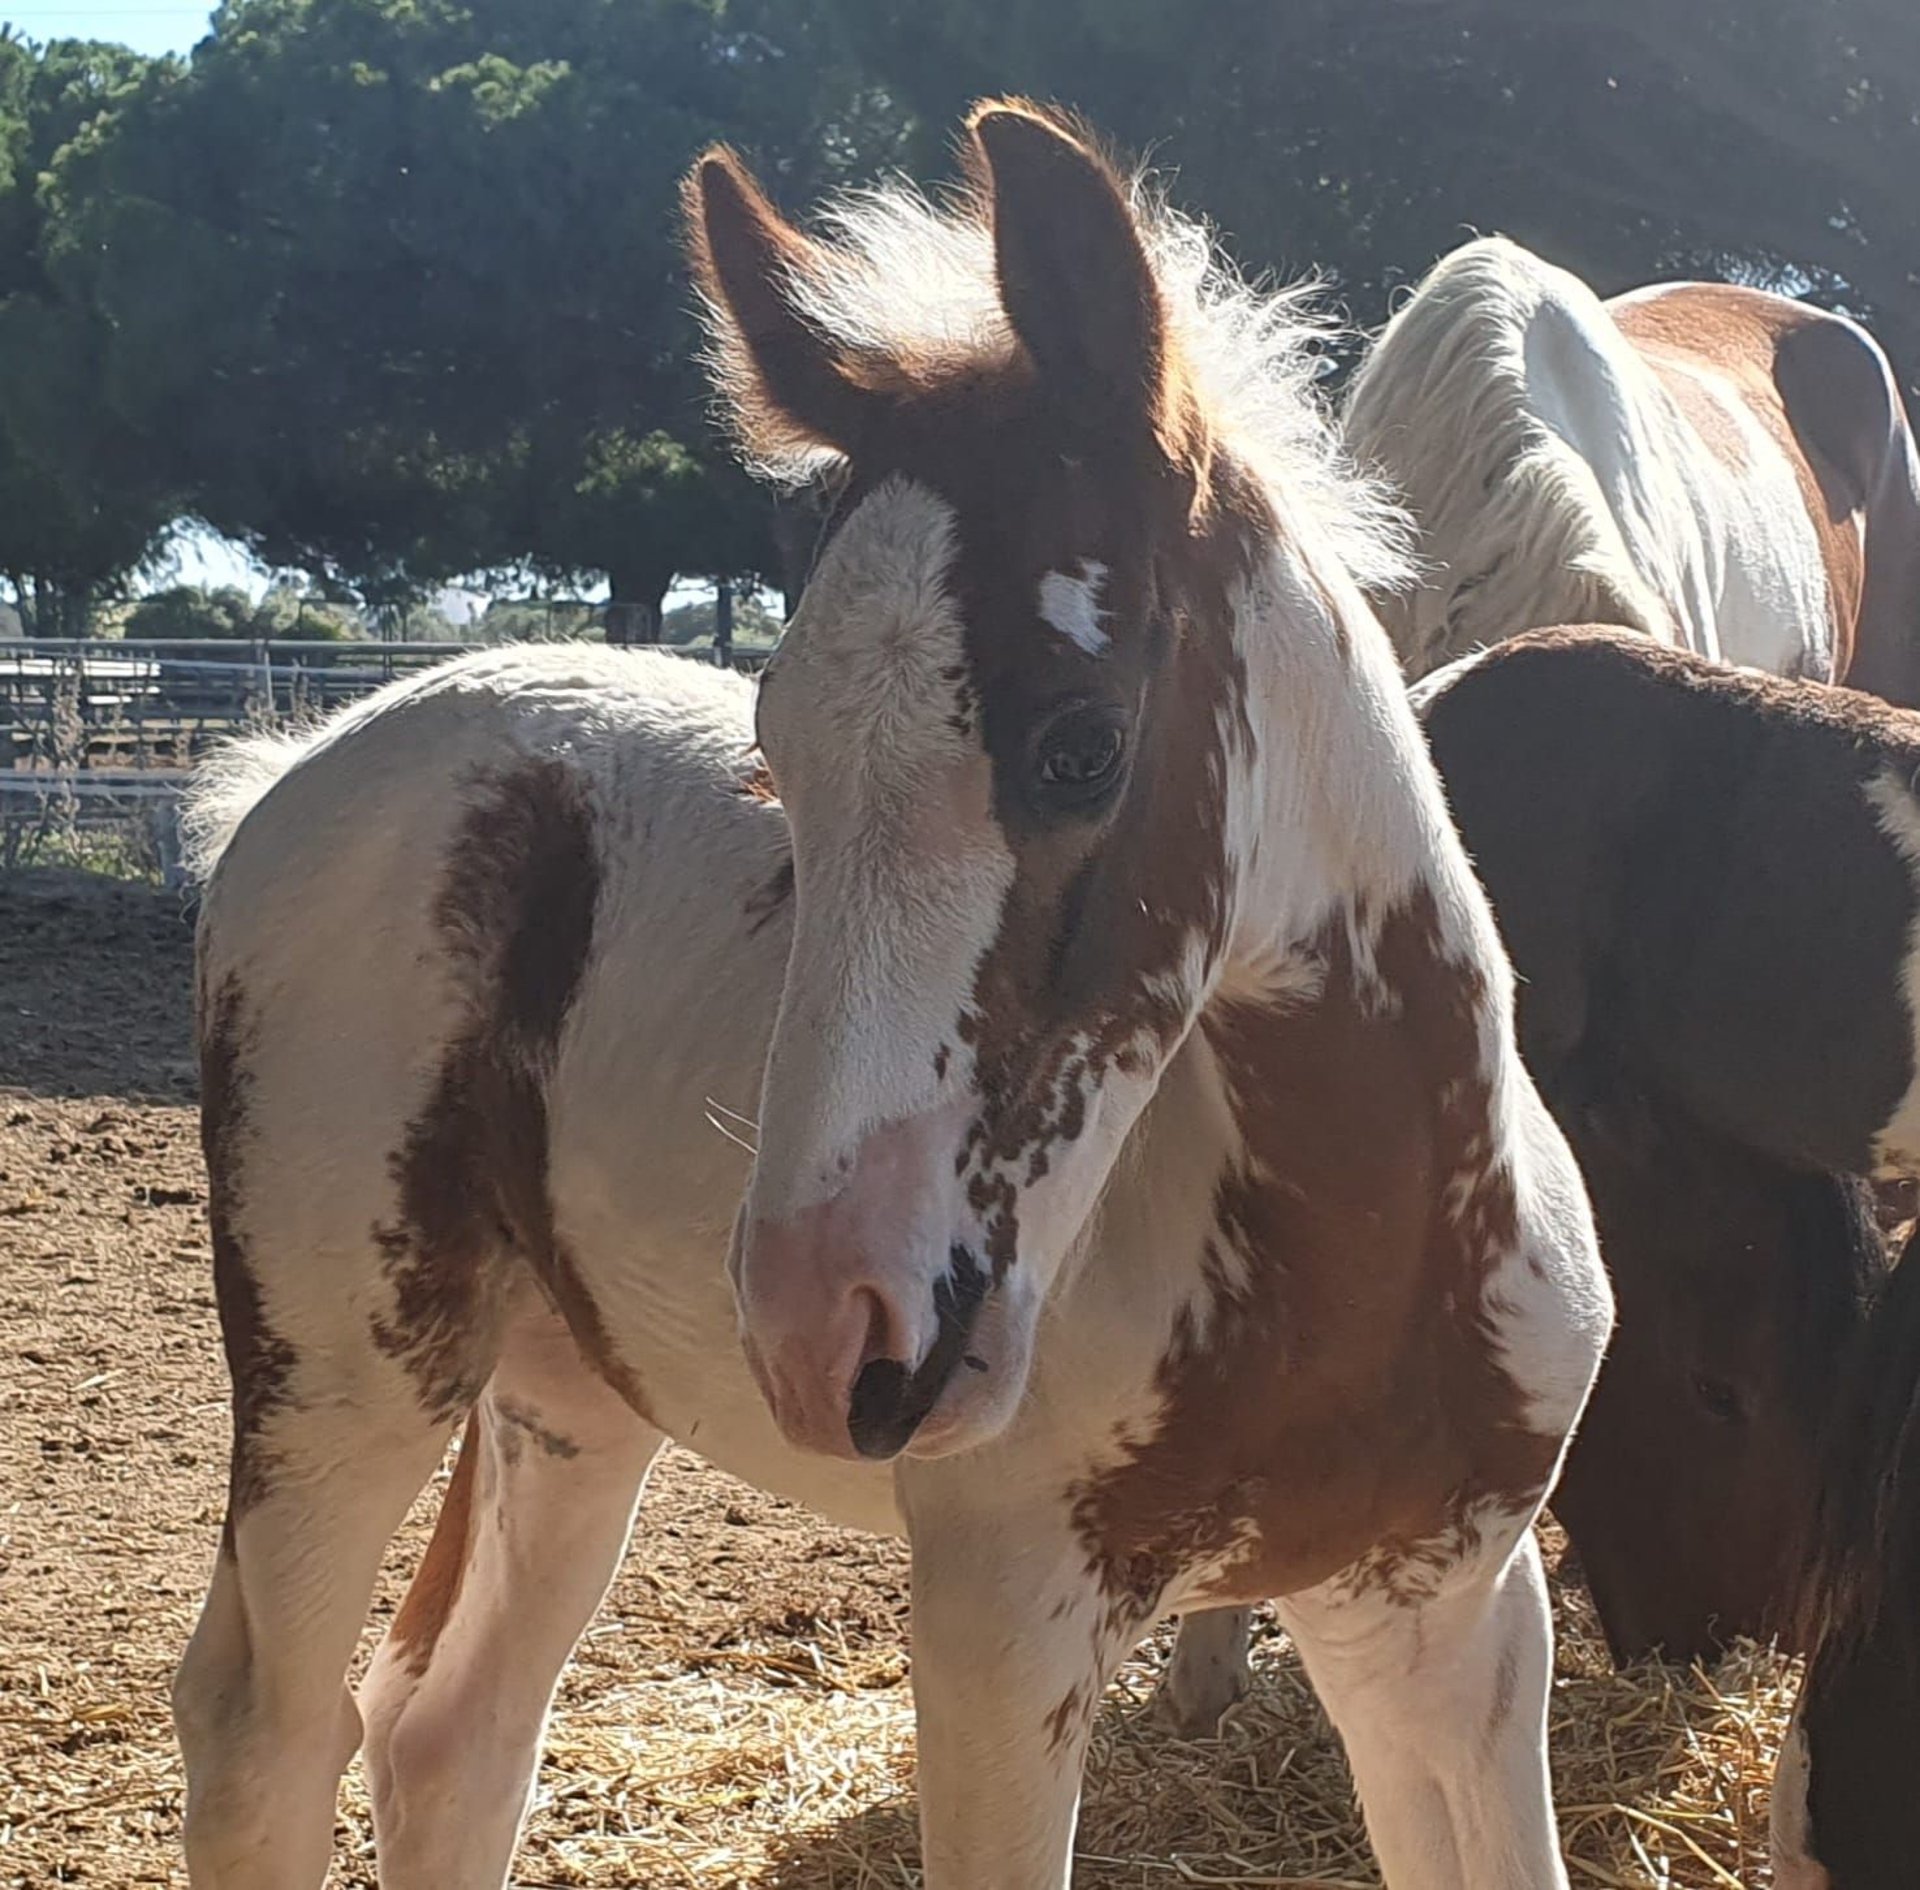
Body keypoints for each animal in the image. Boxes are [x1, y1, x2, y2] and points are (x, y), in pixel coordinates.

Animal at [169, 106, 1612, 1890]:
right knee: (266, 1728)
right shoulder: (1003, 1622)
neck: (1367, 1250)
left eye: (1080, 743)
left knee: (452, 1730)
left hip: (568, 1391)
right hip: (343, 1359)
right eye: (773, 748)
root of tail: (295, 763)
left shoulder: (1443, 1608)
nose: (823, 1332)